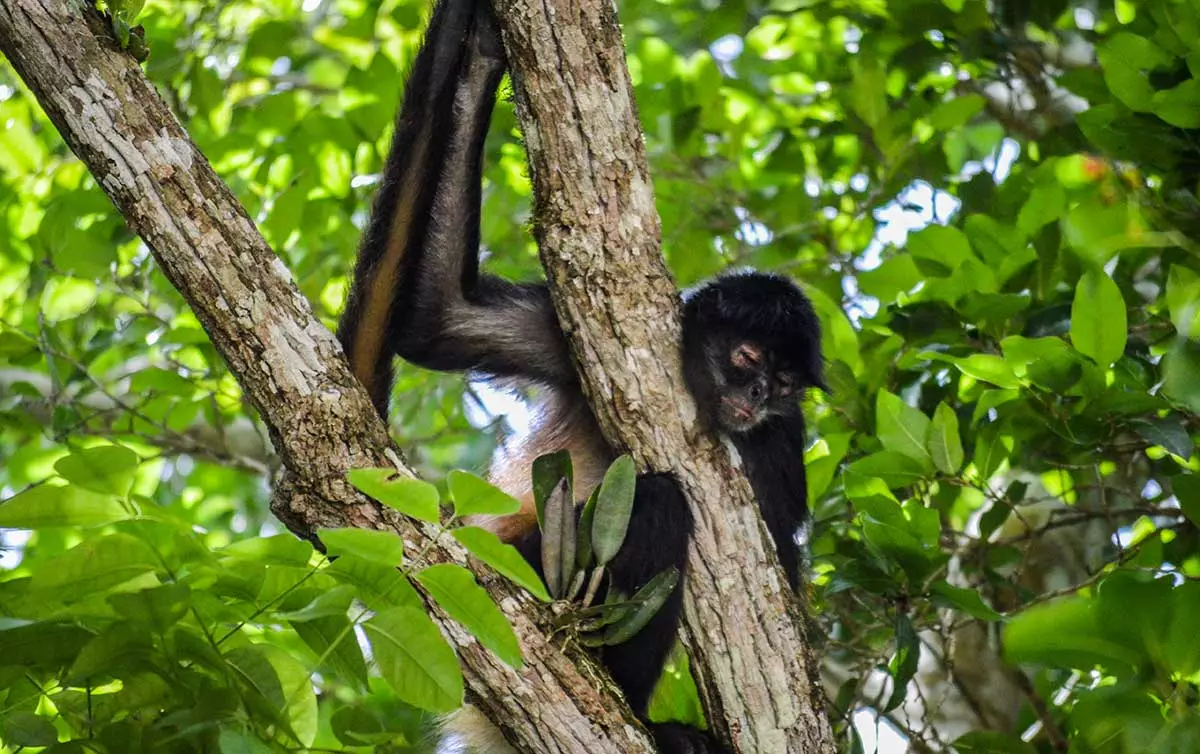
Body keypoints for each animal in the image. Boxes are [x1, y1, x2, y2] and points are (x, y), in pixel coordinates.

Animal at [338, 2, 825, 749]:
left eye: (786, 385)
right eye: (746, 358)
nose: (756, 394)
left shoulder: (781, 440)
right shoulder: (562, 333)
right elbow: (437, 319)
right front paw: (483, 55)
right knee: (662, 501)